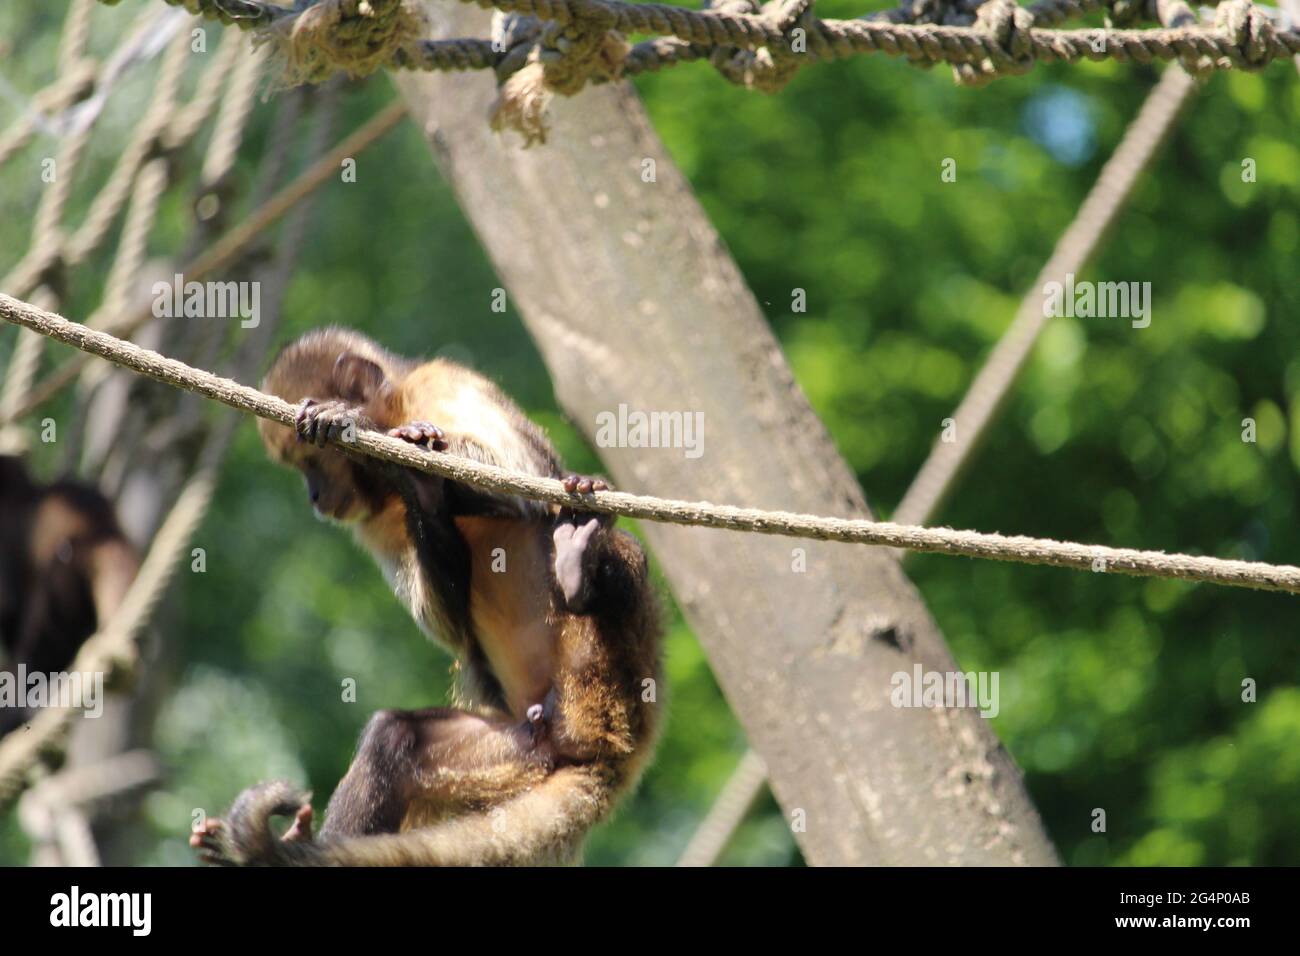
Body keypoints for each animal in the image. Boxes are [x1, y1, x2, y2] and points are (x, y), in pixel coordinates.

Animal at [191, 327, 662, 866]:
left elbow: (524, 486)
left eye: (312, 463)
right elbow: (450, 628)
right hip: (520, 750)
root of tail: (611, 754)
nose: (314, 497)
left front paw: (366, 433)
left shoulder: (443, 382)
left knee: (615, 547)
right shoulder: (373, 515)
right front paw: (420, 487)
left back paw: (576, 570)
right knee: (397, 738)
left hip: (614, 687)